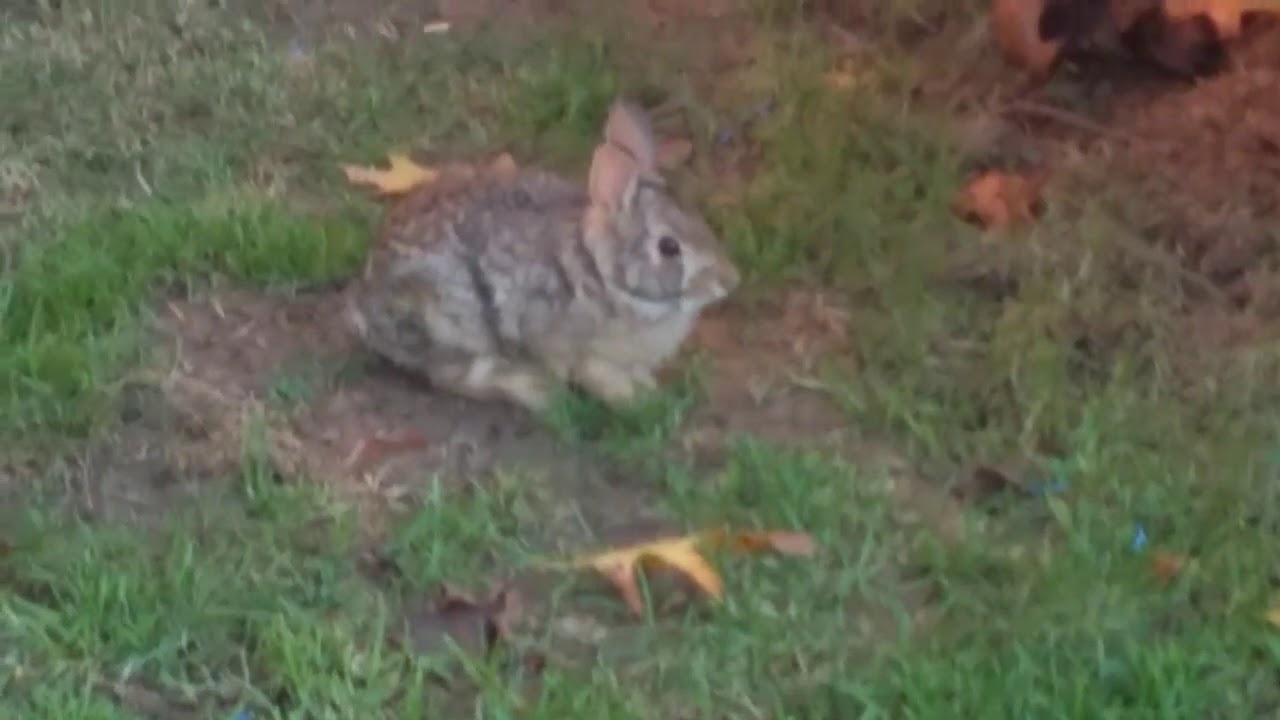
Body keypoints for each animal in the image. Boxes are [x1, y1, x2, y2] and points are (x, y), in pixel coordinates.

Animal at [344, 99, 742, 412]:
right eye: (668, 247)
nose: (729, 280)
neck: (604, 276)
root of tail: (366, 309)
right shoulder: (575, 349)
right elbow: (596, 375)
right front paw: (637, 401)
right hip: (450, 320)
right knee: (450, 375)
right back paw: (535, 392)